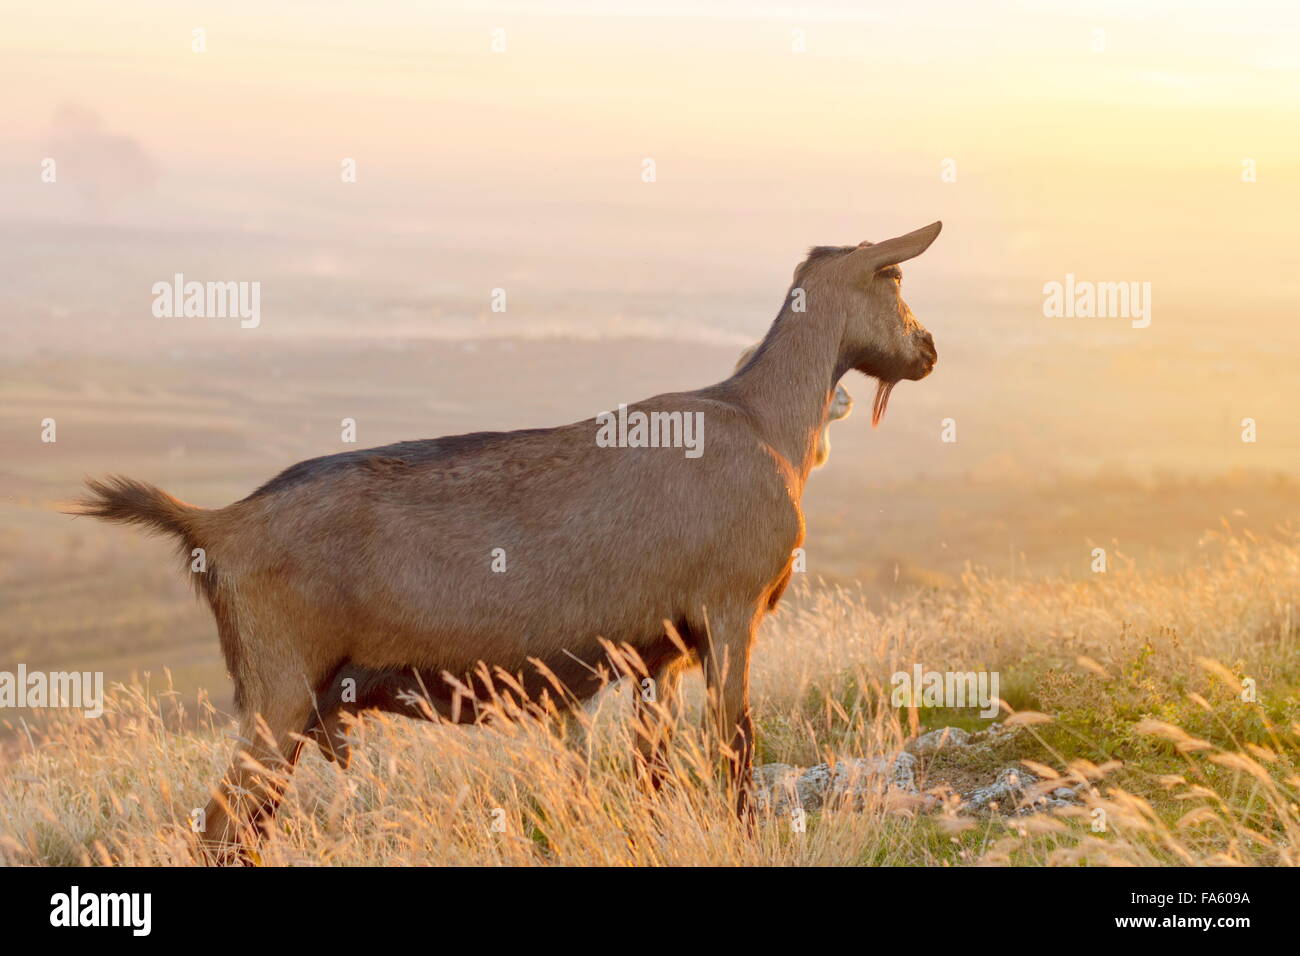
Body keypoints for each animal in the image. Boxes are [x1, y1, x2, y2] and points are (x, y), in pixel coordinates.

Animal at [74, 221, 942, 853]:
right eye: (895, 278)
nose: (928, 349)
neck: (765, 423)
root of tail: (220, 524)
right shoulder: (729, 614)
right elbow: (736, 746)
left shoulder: (657, 655)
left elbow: (653, 772)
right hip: (279, 691)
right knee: (222, 826)